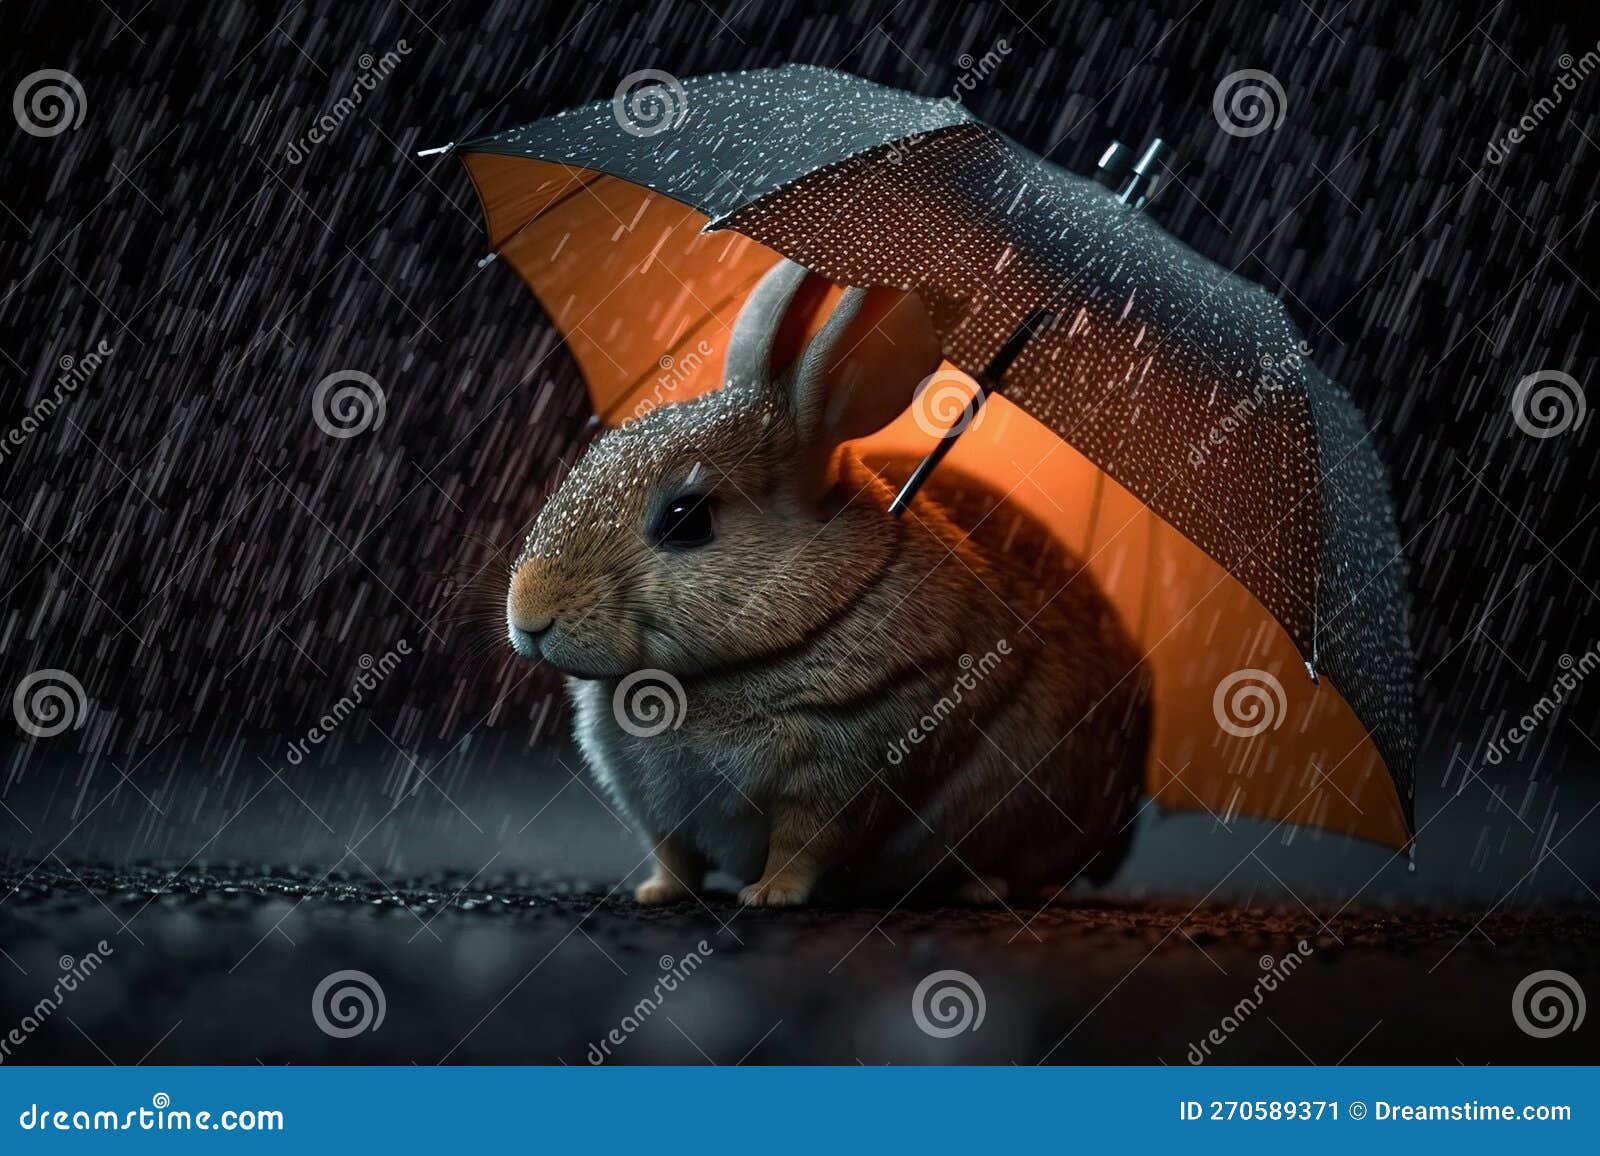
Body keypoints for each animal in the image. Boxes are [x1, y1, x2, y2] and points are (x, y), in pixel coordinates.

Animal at [507, 257, 1150, 907]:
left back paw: (981, 889)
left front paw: (769, 895)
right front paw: (658, 893)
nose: (529, 617)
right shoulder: (655, 808)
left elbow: (804, 843)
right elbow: (674, 855)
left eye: (687, 520)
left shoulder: (845, 770)